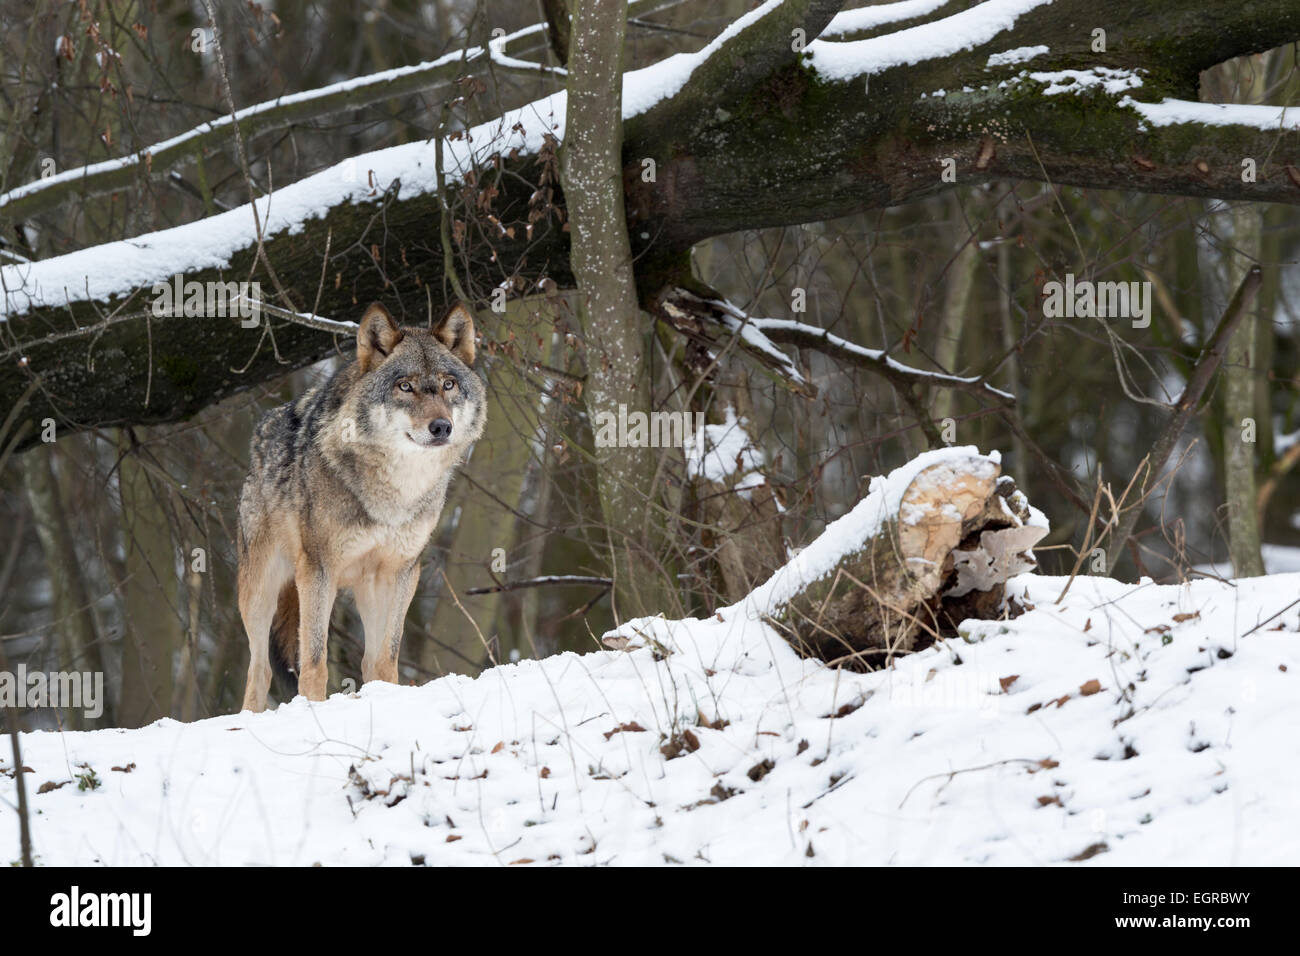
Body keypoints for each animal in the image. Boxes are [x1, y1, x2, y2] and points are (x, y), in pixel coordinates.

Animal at [237, 301, 486, 712]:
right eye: (405, 386)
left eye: (448, 384)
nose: (441, 427)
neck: (395, 492)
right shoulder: (319, 568)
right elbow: (315, 662)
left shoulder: (400, 572)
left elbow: (386, 658)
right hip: (261, 591)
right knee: (259, 672)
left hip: (364, 588)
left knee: (368, 660)